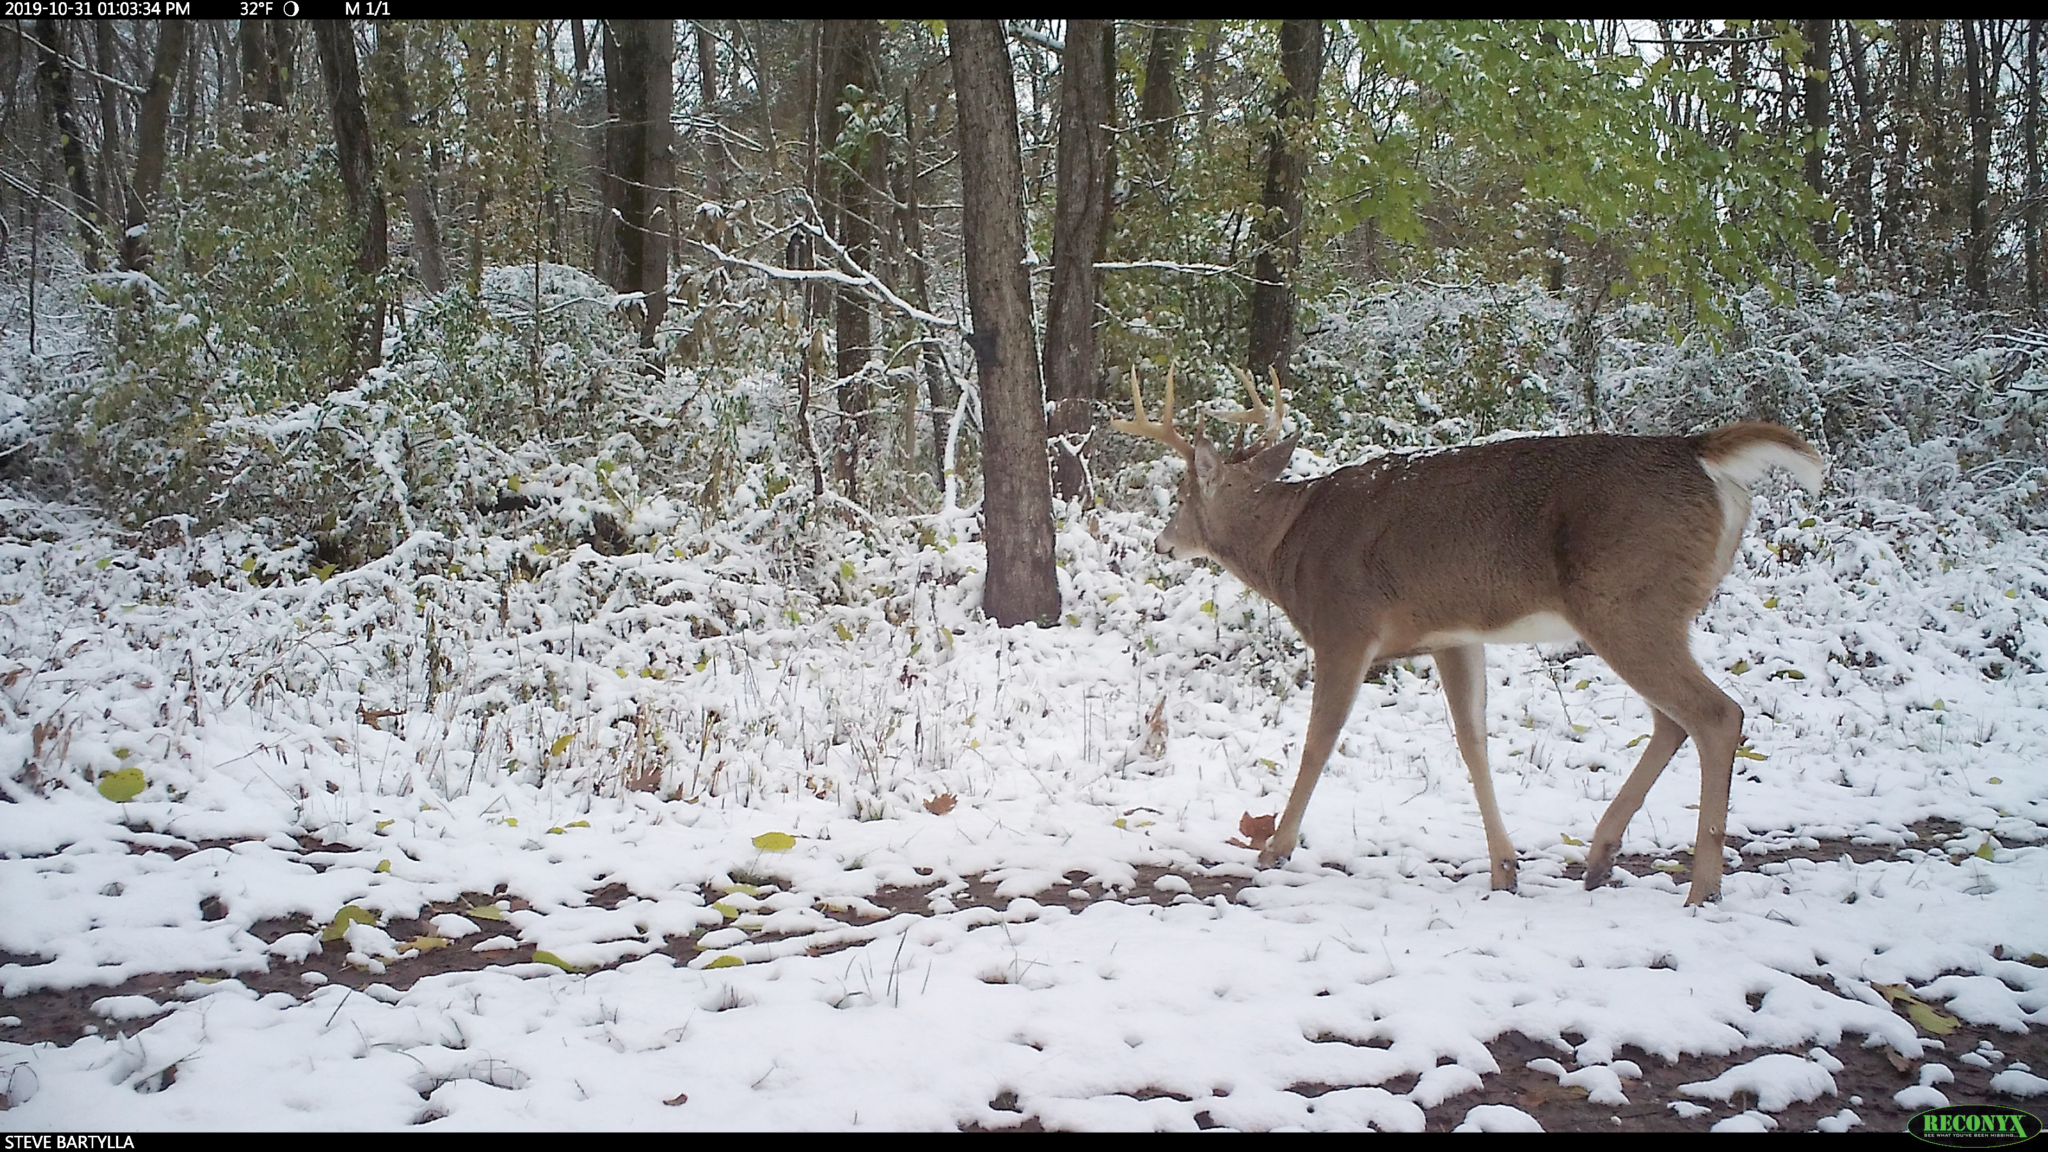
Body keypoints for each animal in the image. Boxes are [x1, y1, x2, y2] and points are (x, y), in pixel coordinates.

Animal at [1112, 366, 1825, 905]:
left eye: (1182, 495)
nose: (1161, 543)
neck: (1288, 549)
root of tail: (1704, 453)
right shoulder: (1452, 636)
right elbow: (1473, 741)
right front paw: (1504, 868)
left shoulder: (1345, 626)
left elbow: (1319, 741)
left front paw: (1275, 848)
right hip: (1640, 611)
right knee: (1672, 720)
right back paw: (1600, 857)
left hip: (1628, 601)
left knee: (1715, 714)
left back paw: (1702, 888)